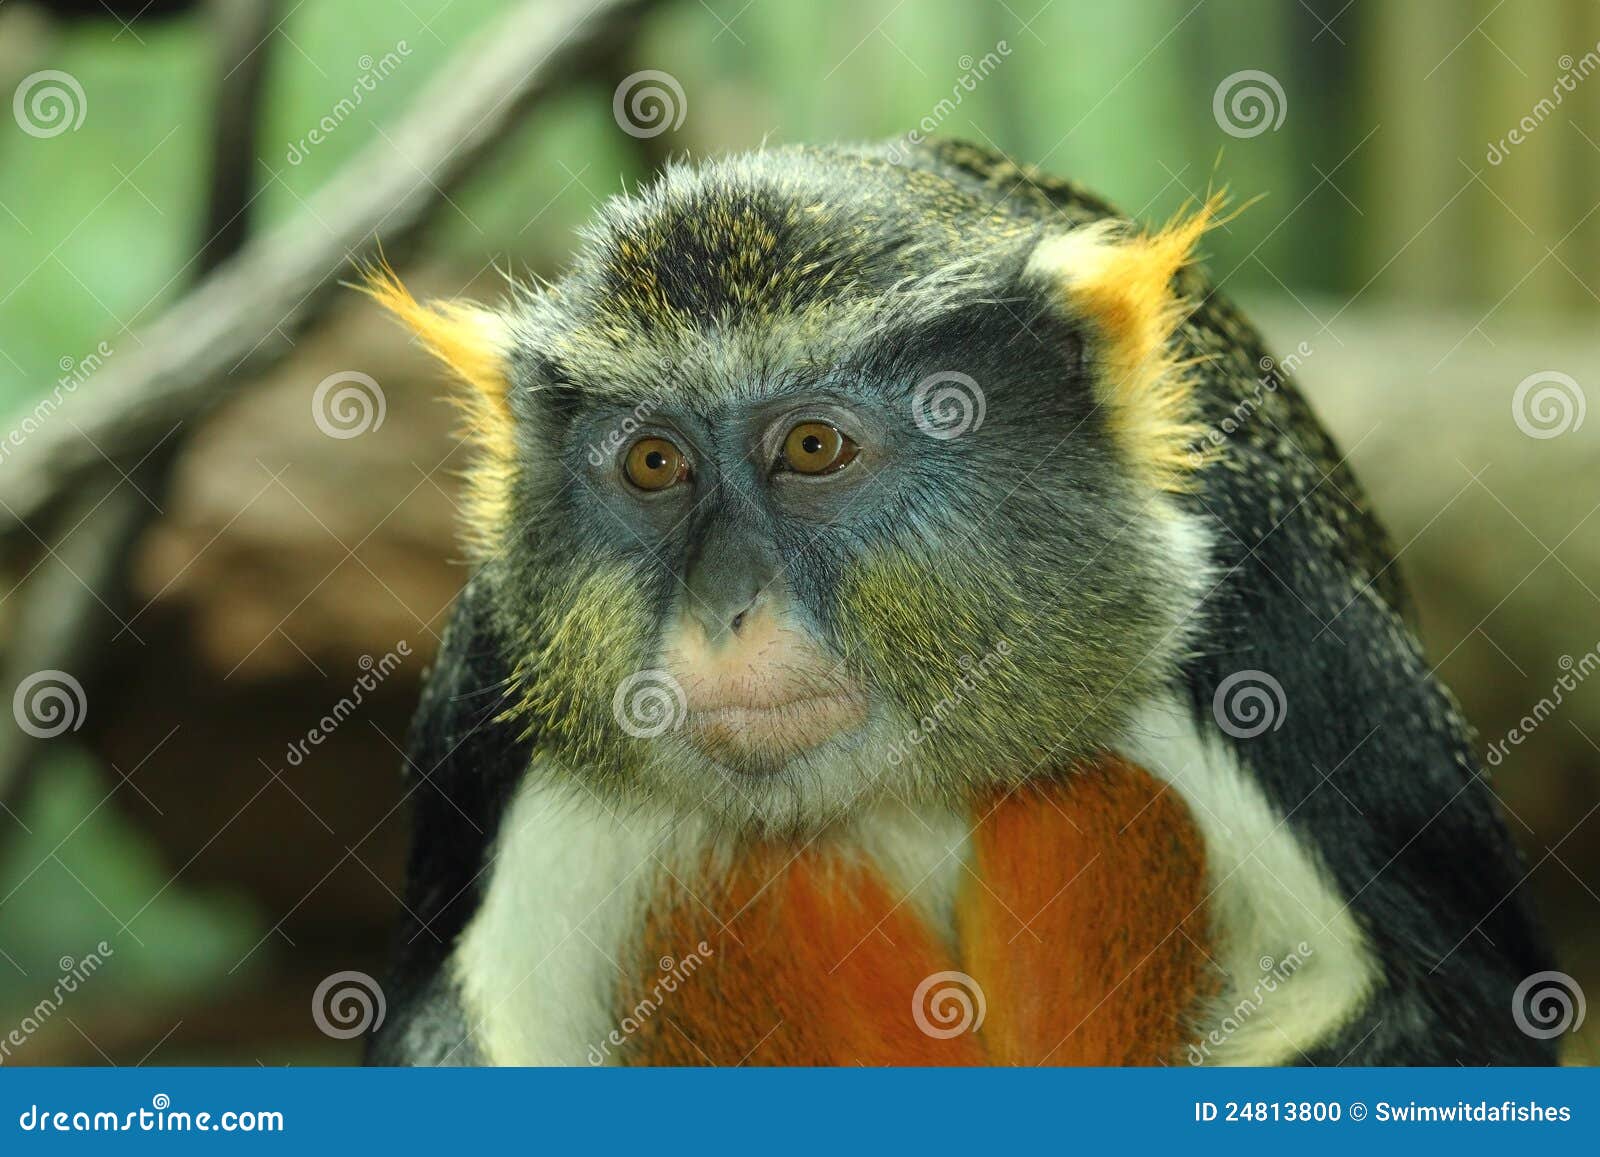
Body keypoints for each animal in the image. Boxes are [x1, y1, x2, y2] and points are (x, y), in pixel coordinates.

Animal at [362, 138, 1557, 1066]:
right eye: (655, 463)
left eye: (812, 447)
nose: (722, 608)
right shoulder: (499, 675)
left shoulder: (1270, 611)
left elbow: (1468, 1012)